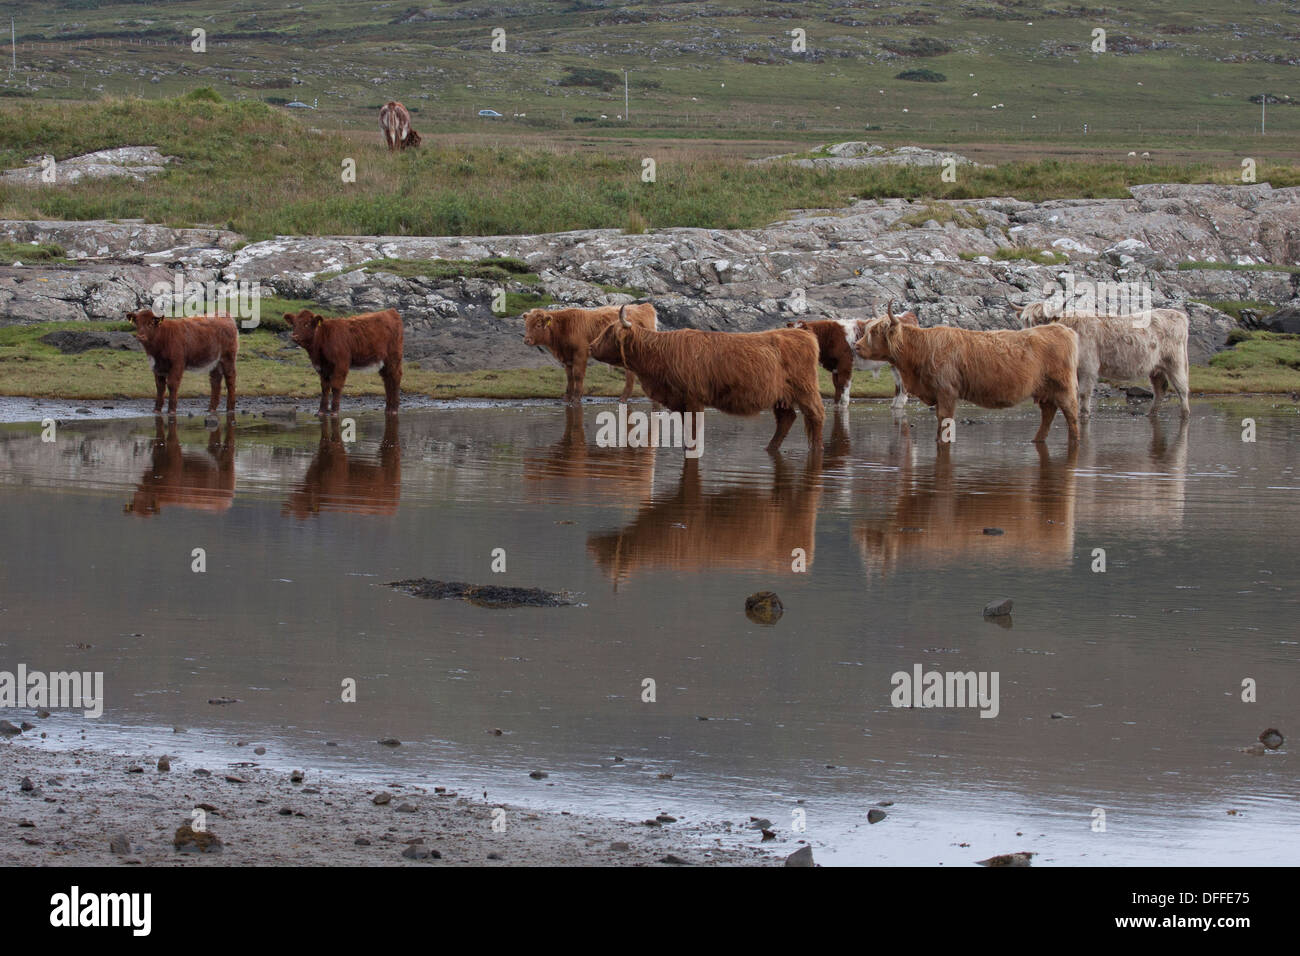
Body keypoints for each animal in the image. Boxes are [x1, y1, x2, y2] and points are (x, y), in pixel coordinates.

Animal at [521, 303, 657, 403]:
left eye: (538, 325)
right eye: (526, 325)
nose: (526, 340)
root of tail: (643, 306)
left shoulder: (580, 353)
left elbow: (578, 375)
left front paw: (576, 397)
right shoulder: (567, 358)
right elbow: (569, 376)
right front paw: (567, 397)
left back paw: (625, 398)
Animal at [588, 306, 824, 452]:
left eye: (608, 332)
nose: (590, 346)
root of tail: (803, 333)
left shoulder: (693, 399)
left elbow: (693, 431)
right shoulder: (680, 402)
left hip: (805, 389)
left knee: (816, 415)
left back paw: (817, 448)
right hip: (780, 396)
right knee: (786, 419)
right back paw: (770, 448)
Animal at [788, 308, 919, 408]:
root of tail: (905, 316)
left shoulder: (845, 364)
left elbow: (844, 386)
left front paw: (843, 405)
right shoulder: (835, 368)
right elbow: (837, 387)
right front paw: (836, 405)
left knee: (903, 383)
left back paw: (899, 404)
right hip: (893, 365)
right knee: (898, 383)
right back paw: (894, 404)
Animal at [855, 306, 1080, 444]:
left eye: (874, 332)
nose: (856, 346)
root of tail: (1060, 328)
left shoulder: (946, 392)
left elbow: (944, 419)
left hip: (1064, 388)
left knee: (1071, 415)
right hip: (1045, 391)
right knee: (1048, 414)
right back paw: (1036, 440)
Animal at [1016, 302, 1191, 420]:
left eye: (1041, 320)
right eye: (1024, 320)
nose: (1029, 336)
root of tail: (1178, 315)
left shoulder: (1088, 368)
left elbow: (1084, 393)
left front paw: (1084, 415)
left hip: (1175, 362)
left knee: (1182, 388)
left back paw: (1184, 414)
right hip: (1156, 367)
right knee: (1160, 388)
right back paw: (1151, 414)